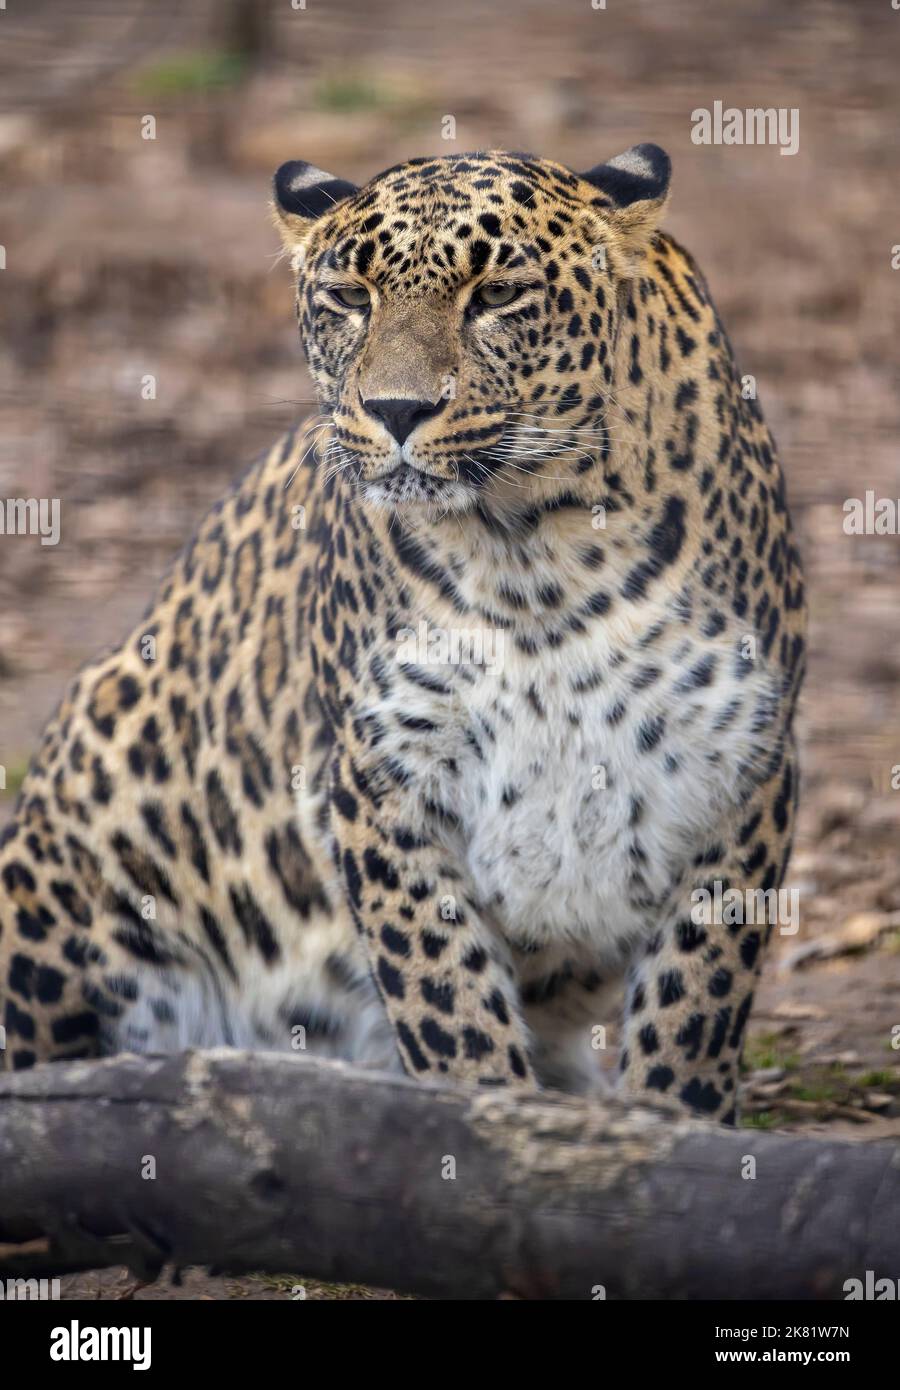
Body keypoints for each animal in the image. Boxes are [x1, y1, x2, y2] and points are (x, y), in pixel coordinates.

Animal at [0, 145, 806, 1123]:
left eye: (498, 294)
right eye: (350, 297)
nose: (394, 409)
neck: (537, 558)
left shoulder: (740, 771)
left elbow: (694, 1005)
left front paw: (668, 1129)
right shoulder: (385, 780)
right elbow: (449, 1003)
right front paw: (481, 1122)